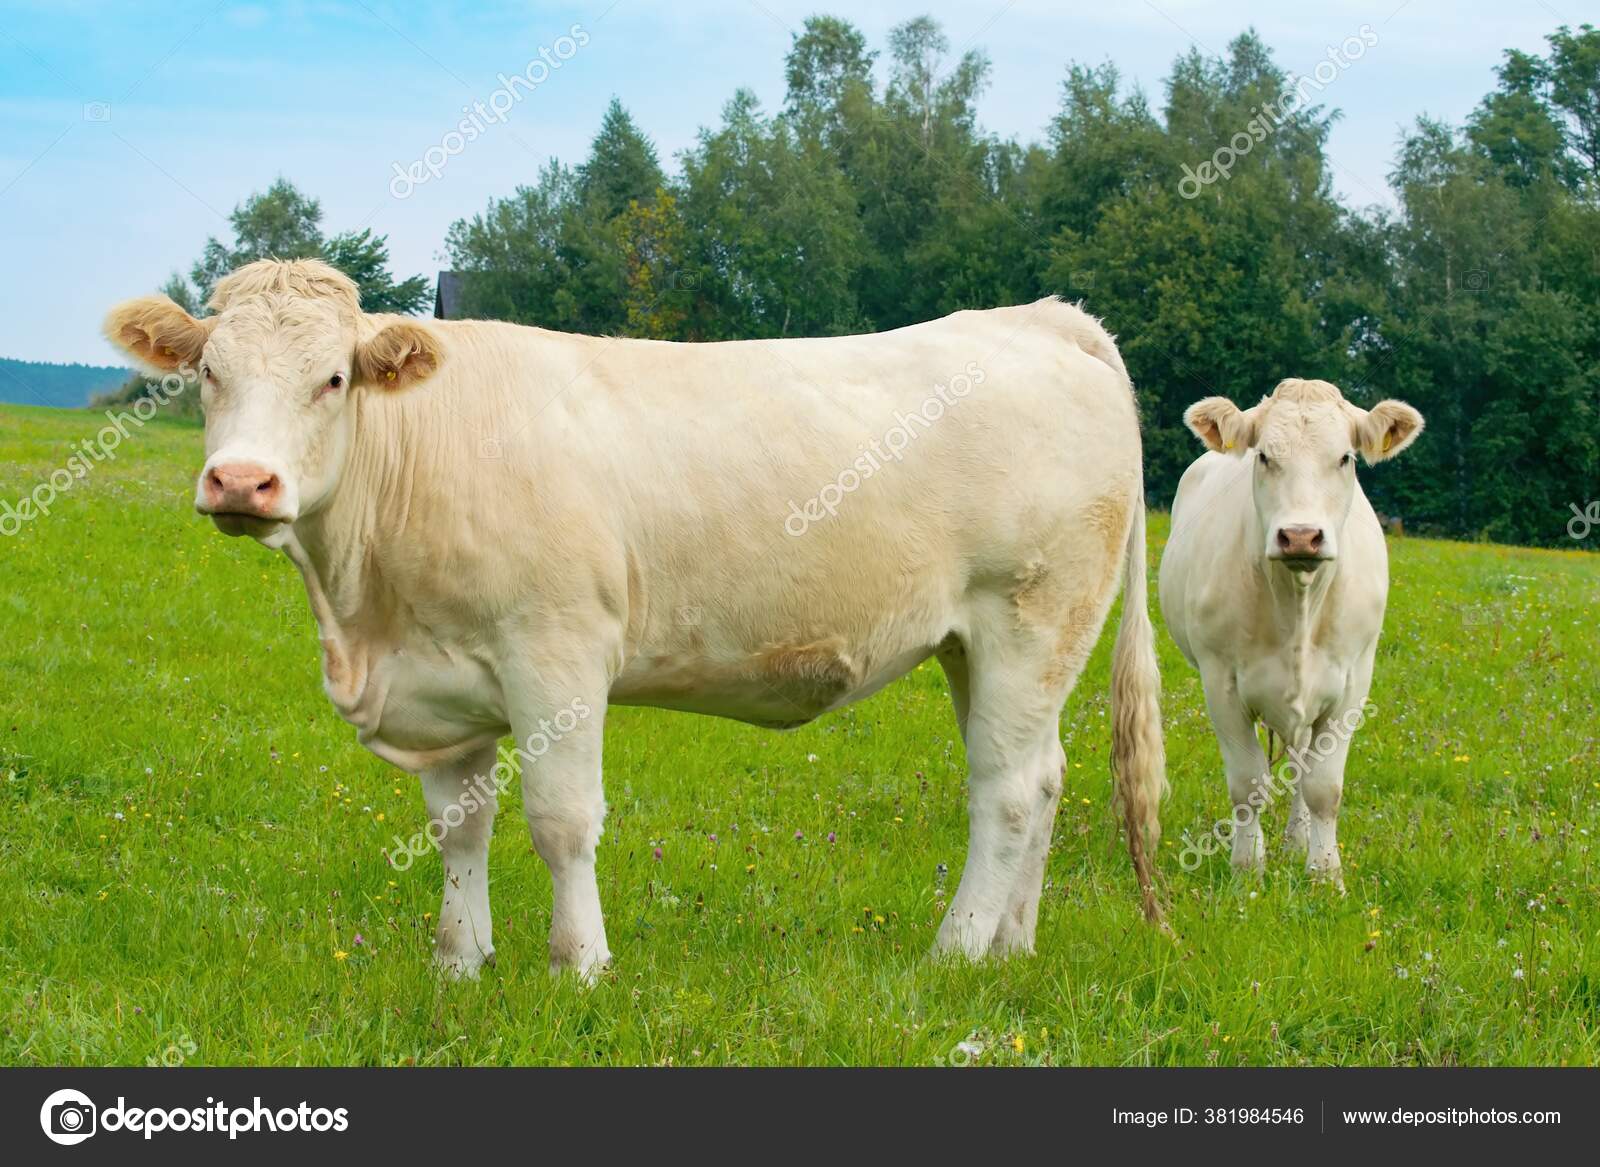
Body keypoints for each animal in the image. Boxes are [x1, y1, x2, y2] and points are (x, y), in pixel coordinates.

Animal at [103, 258, 1166, 979]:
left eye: (331, 378)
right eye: (208, 372)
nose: (242, 481)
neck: (365, 618)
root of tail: (1044, 318)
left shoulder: (556, 653)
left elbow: (562, 821)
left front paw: (579, 964)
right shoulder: (439, 681)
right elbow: (460, 826)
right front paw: (460, 959)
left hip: (1028, 615)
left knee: (1006, 790)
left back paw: (957, 948)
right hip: (980, 648)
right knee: (1046, 775)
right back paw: (1013, 944)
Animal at [1158, 378, 1423, 889]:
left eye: (1346, 458)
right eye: (1263, 456)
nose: (1301, 536)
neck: (1297, 602)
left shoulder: (1352, 683)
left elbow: (1323, 787)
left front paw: (1325, 874)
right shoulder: (1220, 682)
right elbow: (1249, 785)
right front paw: (1247, 869)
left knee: (1302, 765)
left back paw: (1298, 840)